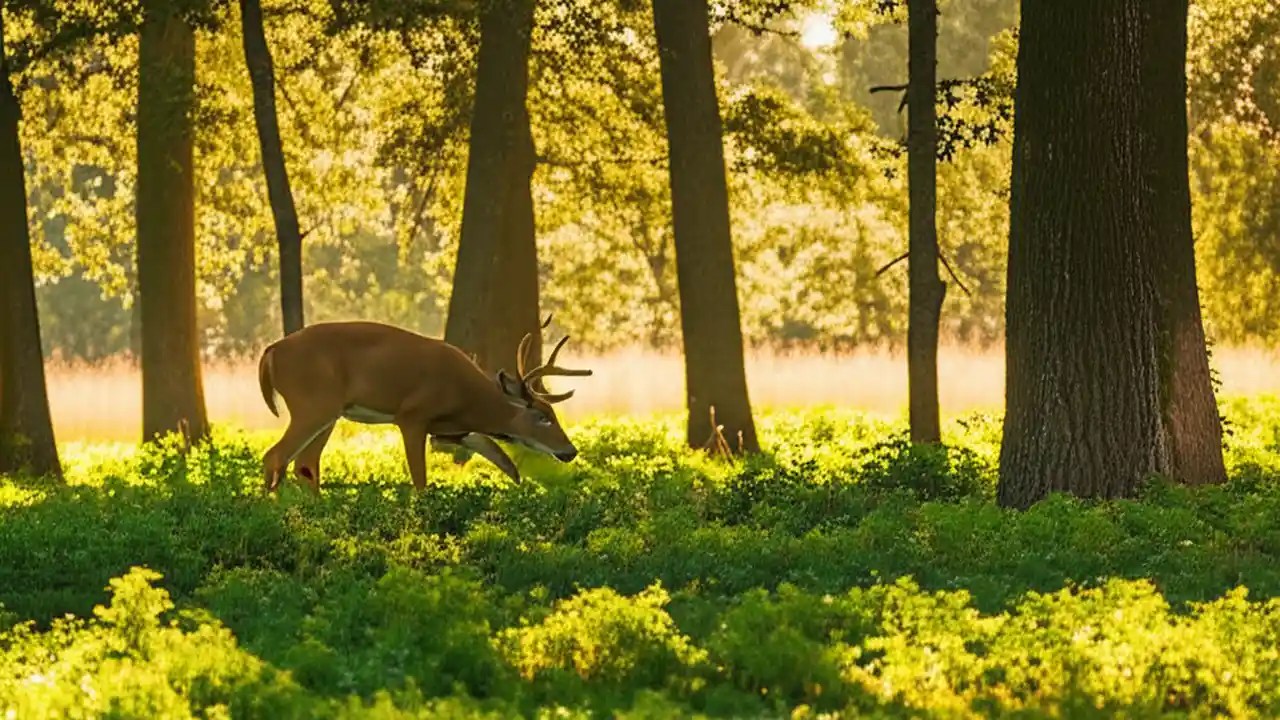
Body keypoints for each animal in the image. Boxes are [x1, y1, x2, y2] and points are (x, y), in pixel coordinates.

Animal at [256, 315, 591, 493]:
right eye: (543, 416)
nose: (570, 451)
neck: (468, 399)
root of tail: (271, 351)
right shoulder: (413, 415)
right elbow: (420, 480)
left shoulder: (452, 430)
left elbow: (499, 456)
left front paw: (517, 483)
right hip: (312, 404)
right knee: (275, 456)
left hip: (330, 413)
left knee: (305, 464)